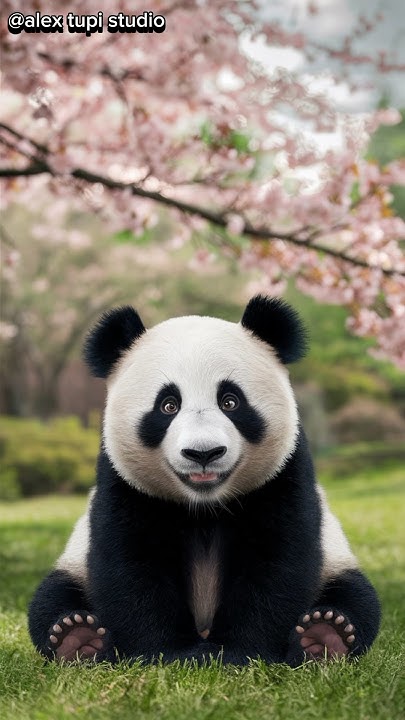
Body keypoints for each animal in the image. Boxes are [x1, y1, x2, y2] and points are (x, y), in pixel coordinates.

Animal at [28, 296, 381, 666]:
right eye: (168, 405)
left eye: (230, 401)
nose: (204, 453)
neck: (204, 506)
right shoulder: (123, 483)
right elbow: (133, 564)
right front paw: (171, 653)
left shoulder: (283, 475)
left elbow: (275, 561)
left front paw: (237, 653)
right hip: (73, 565)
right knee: (52, 597)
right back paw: (77, 638)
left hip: (337, 562)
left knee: (356, 596)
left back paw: (326, 635)